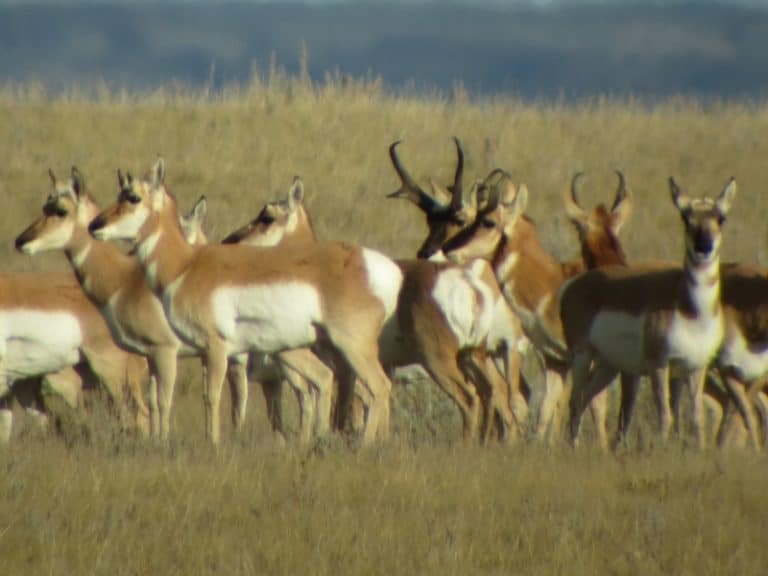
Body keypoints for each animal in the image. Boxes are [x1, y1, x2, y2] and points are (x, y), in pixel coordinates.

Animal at [88, 158, 402, 445]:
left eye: (133, 197)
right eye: (120, 192)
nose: (94, 225)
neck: (186, 264)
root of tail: (383, 268)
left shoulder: (215, 348)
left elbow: (211, 397)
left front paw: (212, 444)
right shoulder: (202, 353)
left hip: (351, 346)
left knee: (378, 387)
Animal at [559, 177, 736, 449]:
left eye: (721, 218)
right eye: (685, 217)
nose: (703, 247)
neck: (692, 313)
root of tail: (576, 285)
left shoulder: (694, 368)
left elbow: (696, 417)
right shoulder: (658, 367)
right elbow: (665, 416)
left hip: (608, 366)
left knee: (588, 397)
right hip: (582, 356)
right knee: (576, 400)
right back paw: (574, 448)